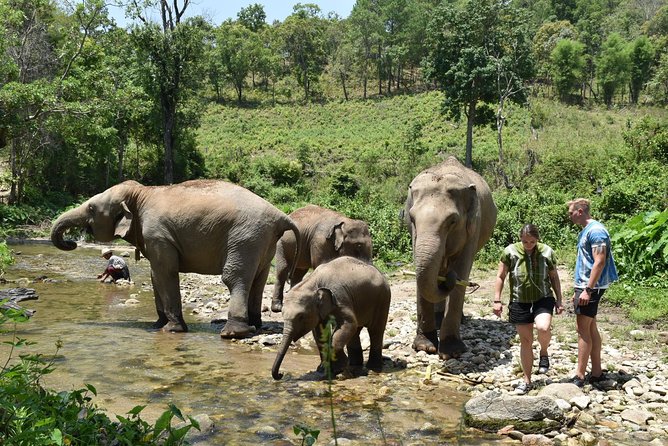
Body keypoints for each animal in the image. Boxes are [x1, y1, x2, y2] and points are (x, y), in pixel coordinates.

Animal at [50, 179, 300, 338]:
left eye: (91, 208)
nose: (72, 242)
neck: (141, 193)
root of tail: (279, 215)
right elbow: (154, 275)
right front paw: (156, 325)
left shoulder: (159, 235)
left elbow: (165, 272)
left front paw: (171, 330)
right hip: (263, 241)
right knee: (259, 278)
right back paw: (256, 326)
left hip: (245, 237)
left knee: (234, 277)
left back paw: (232, 334)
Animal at [404, 156, 496, 359]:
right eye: (412, 218)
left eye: (452, 221)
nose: (449, 280)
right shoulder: (414, 234)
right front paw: (425, 347)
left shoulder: (473, 227)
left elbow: (462, 268)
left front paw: (452, 351)